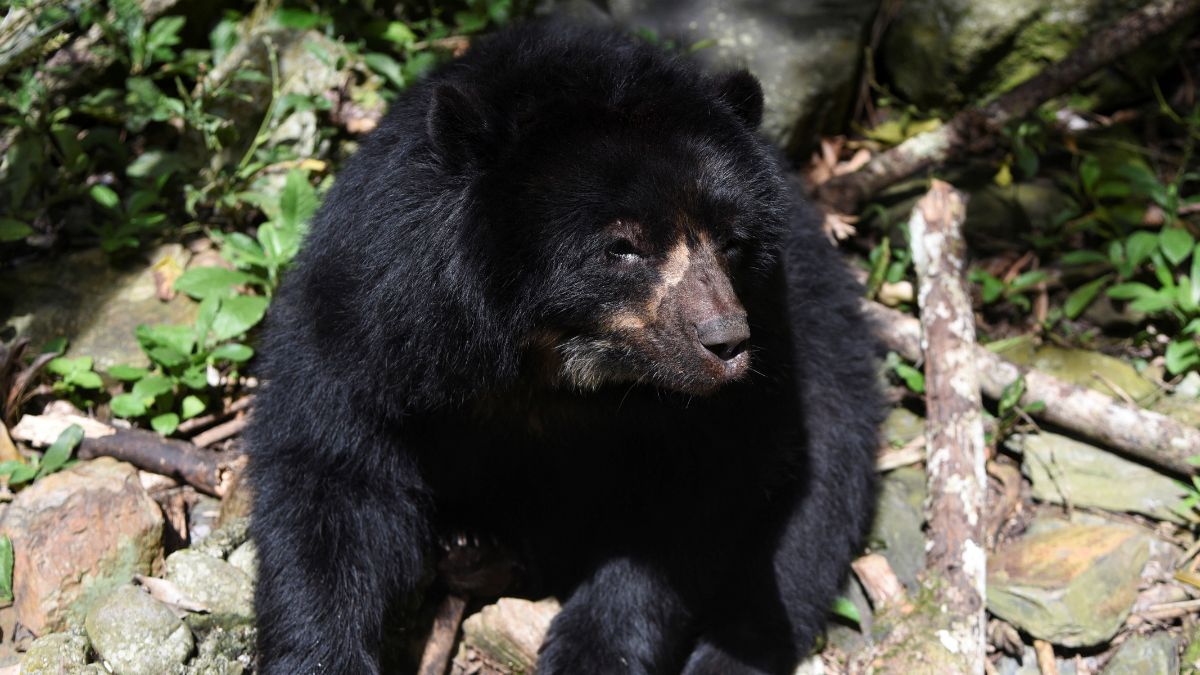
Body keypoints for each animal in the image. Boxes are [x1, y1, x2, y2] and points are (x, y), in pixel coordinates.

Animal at [245, 19, 883, 675]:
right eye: (622, 247)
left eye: (732, 242)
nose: (726, 342)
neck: (556, 365)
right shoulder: (370, 319)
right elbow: (335, 478)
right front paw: (322, 655)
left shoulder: (749, 372)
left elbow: (693, 501)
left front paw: (587, 651)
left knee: (805, 533)